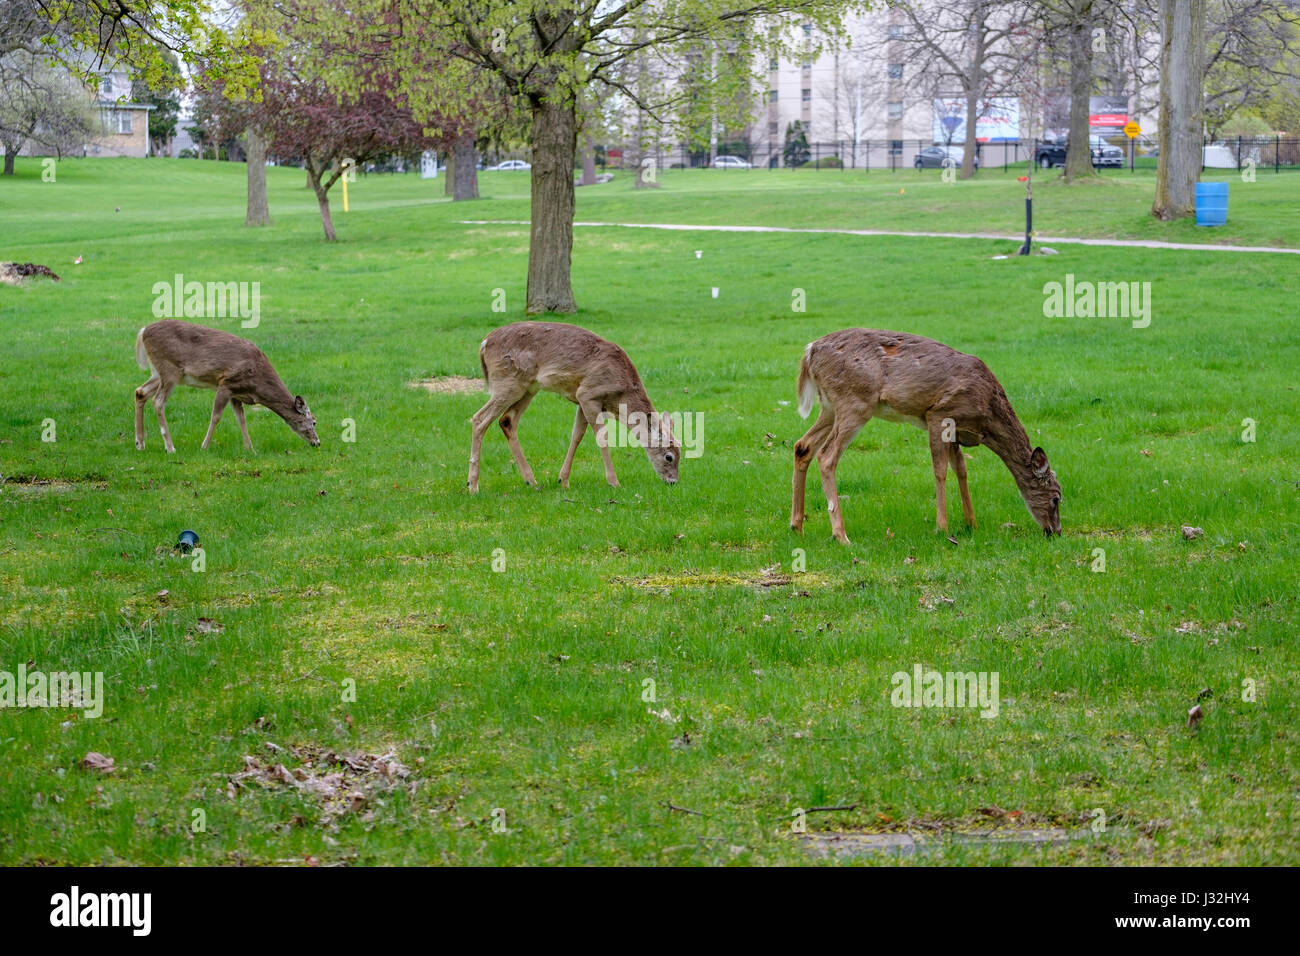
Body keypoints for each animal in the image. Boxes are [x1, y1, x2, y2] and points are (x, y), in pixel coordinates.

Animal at [134, 320, 320, 453]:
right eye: (314, 422)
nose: (317, 442)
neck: (257, 387)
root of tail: (143, 331)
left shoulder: (237, 393)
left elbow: (241, 418)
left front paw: (250, 449)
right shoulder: (226, 383)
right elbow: (216, 416)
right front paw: (204, 446)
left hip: (158, 372)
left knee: (140, 392)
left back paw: (140, 443)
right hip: (169, 369)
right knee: (158, 401)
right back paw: (170, 447)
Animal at [468, 322, 680, 493]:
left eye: (680, 451)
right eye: (669, 457)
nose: (673, 482)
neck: (621, 394)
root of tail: (484, 343)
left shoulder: (584, 400)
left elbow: (576, 436)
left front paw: (563, 480)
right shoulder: (588, 393)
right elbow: (602, 437)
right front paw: (614, 482)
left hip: (528, 388)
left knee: (507, 421)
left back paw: (531, 481)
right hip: (507, 382)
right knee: (479, 419)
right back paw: (473, 485)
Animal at [791, 329, 1062, 544]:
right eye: (1056, 498)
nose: (1056, 532)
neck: (987, 415)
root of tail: (810, 351)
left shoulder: (956, 432)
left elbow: (961, 469)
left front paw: (971, 523)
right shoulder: (939, 414)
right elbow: (940, 470)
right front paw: (942, 527)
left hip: (829, 406)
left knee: (802, 446)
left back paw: (797, 527)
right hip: (855, 401)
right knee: (826, 455)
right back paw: (841, 535)